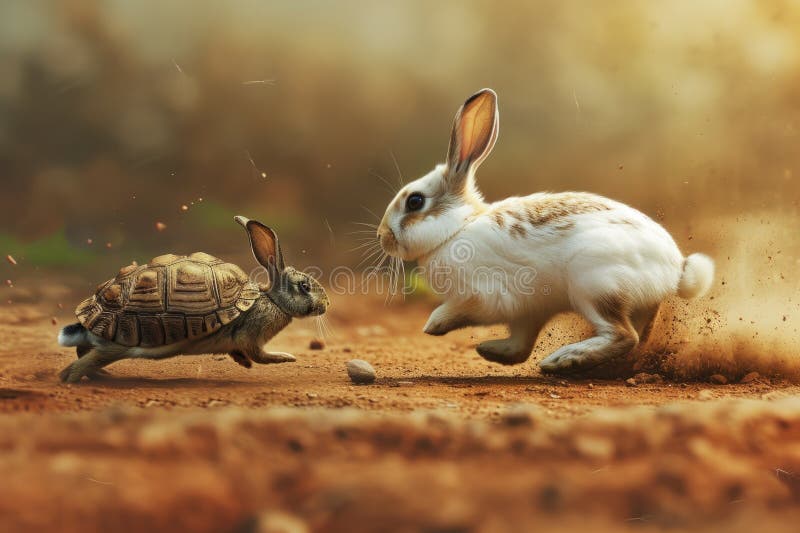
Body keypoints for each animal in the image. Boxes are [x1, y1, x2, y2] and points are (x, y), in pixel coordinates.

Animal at [57, 216, 329, 382]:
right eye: (304, 286)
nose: (327, 305)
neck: (270, 299)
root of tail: (94, 309)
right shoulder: (252, 335)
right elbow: (260, 355)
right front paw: (286, 357)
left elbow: (243, 353)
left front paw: (243, 363)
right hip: (119, 340)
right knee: (80, 364)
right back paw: (72, 380)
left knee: (83, 352)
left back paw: (104, 376)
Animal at [376, 88, 714, 374]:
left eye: (415, 201)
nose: (382, 237)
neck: (458, 227)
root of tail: (676, 269)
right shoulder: (528, 312)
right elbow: (520, 345)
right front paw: (490, 350)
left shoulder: (487, 296)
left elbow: (458, 310)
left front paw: (433, 325)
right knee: (637, 339)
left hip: (594, 284)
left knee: (623, 335)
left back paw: (564, 359)